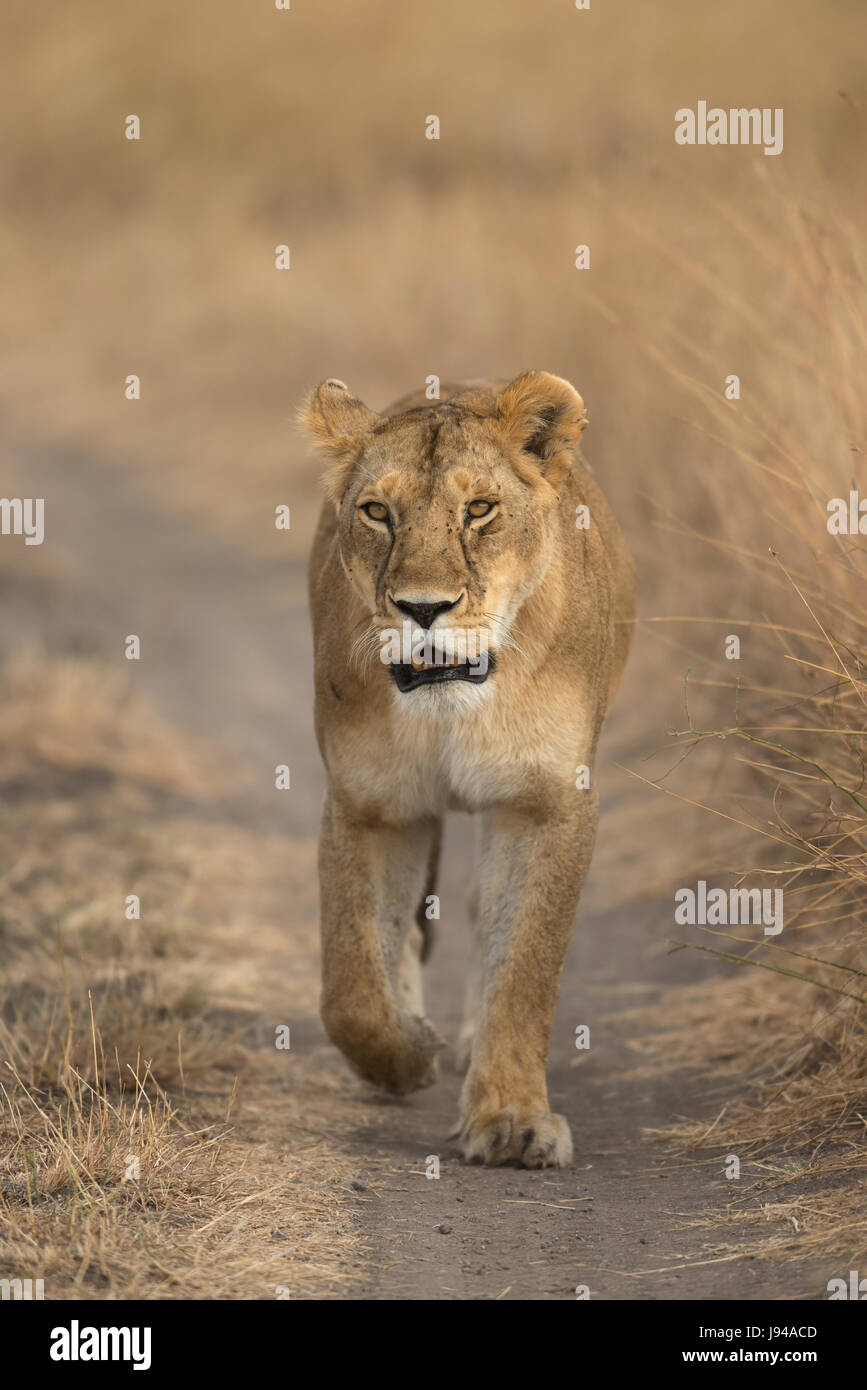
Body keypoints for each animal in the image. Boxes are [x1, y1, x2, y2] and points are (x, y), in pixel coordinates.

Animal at [303, 372, 634, 1168]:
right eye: (377, 512)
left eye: (479, 509)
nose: (423, 609)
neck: (451, 704)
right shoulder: (367, 803)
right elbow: (351, 983)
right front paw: (405, 1055)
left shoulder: (547, 802)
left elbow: (523, 968)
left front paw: (511, 1118)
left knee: (484, 913)